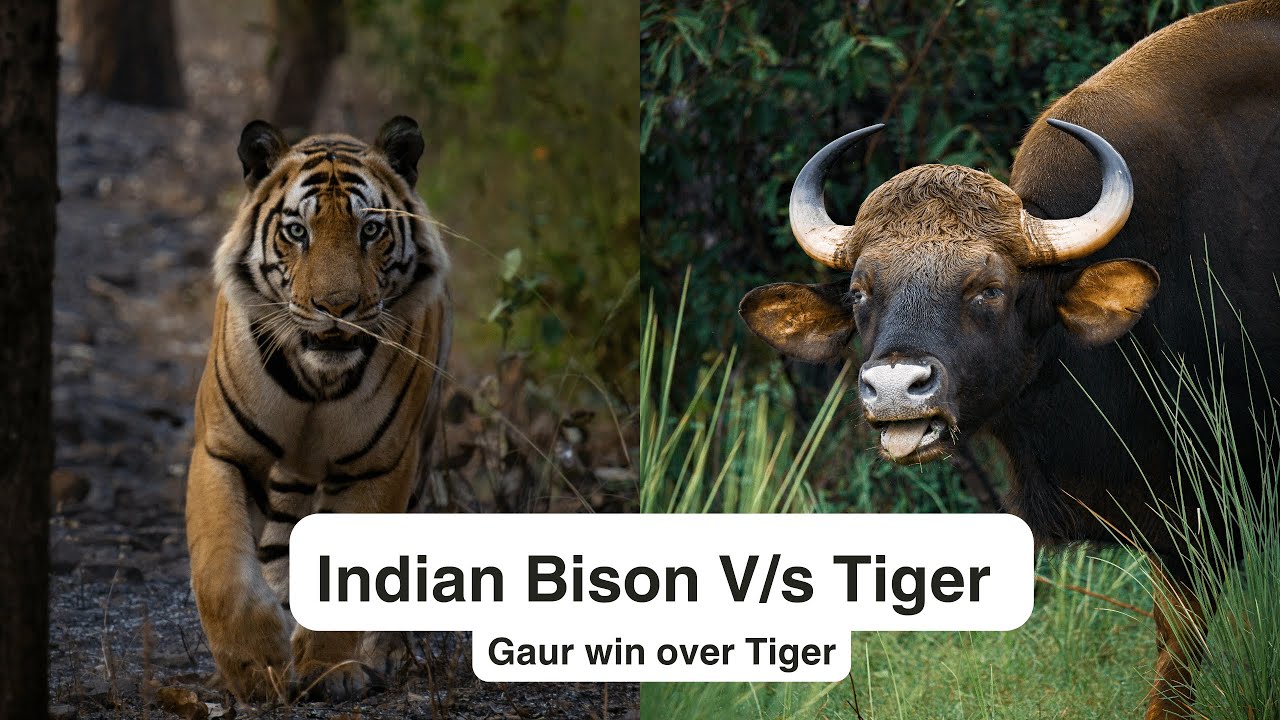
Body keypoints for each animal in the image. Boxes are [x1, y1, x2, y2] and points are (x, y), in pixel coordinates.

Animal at [185, 115, 451, 700]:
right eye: (296, 232)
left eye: (370, 231)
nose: (336, 307)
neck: (316, 381)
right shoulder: (222, 450)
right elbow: (221, 570)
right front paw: (254, 667)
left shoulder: (380, 467)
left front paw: (331, 670)